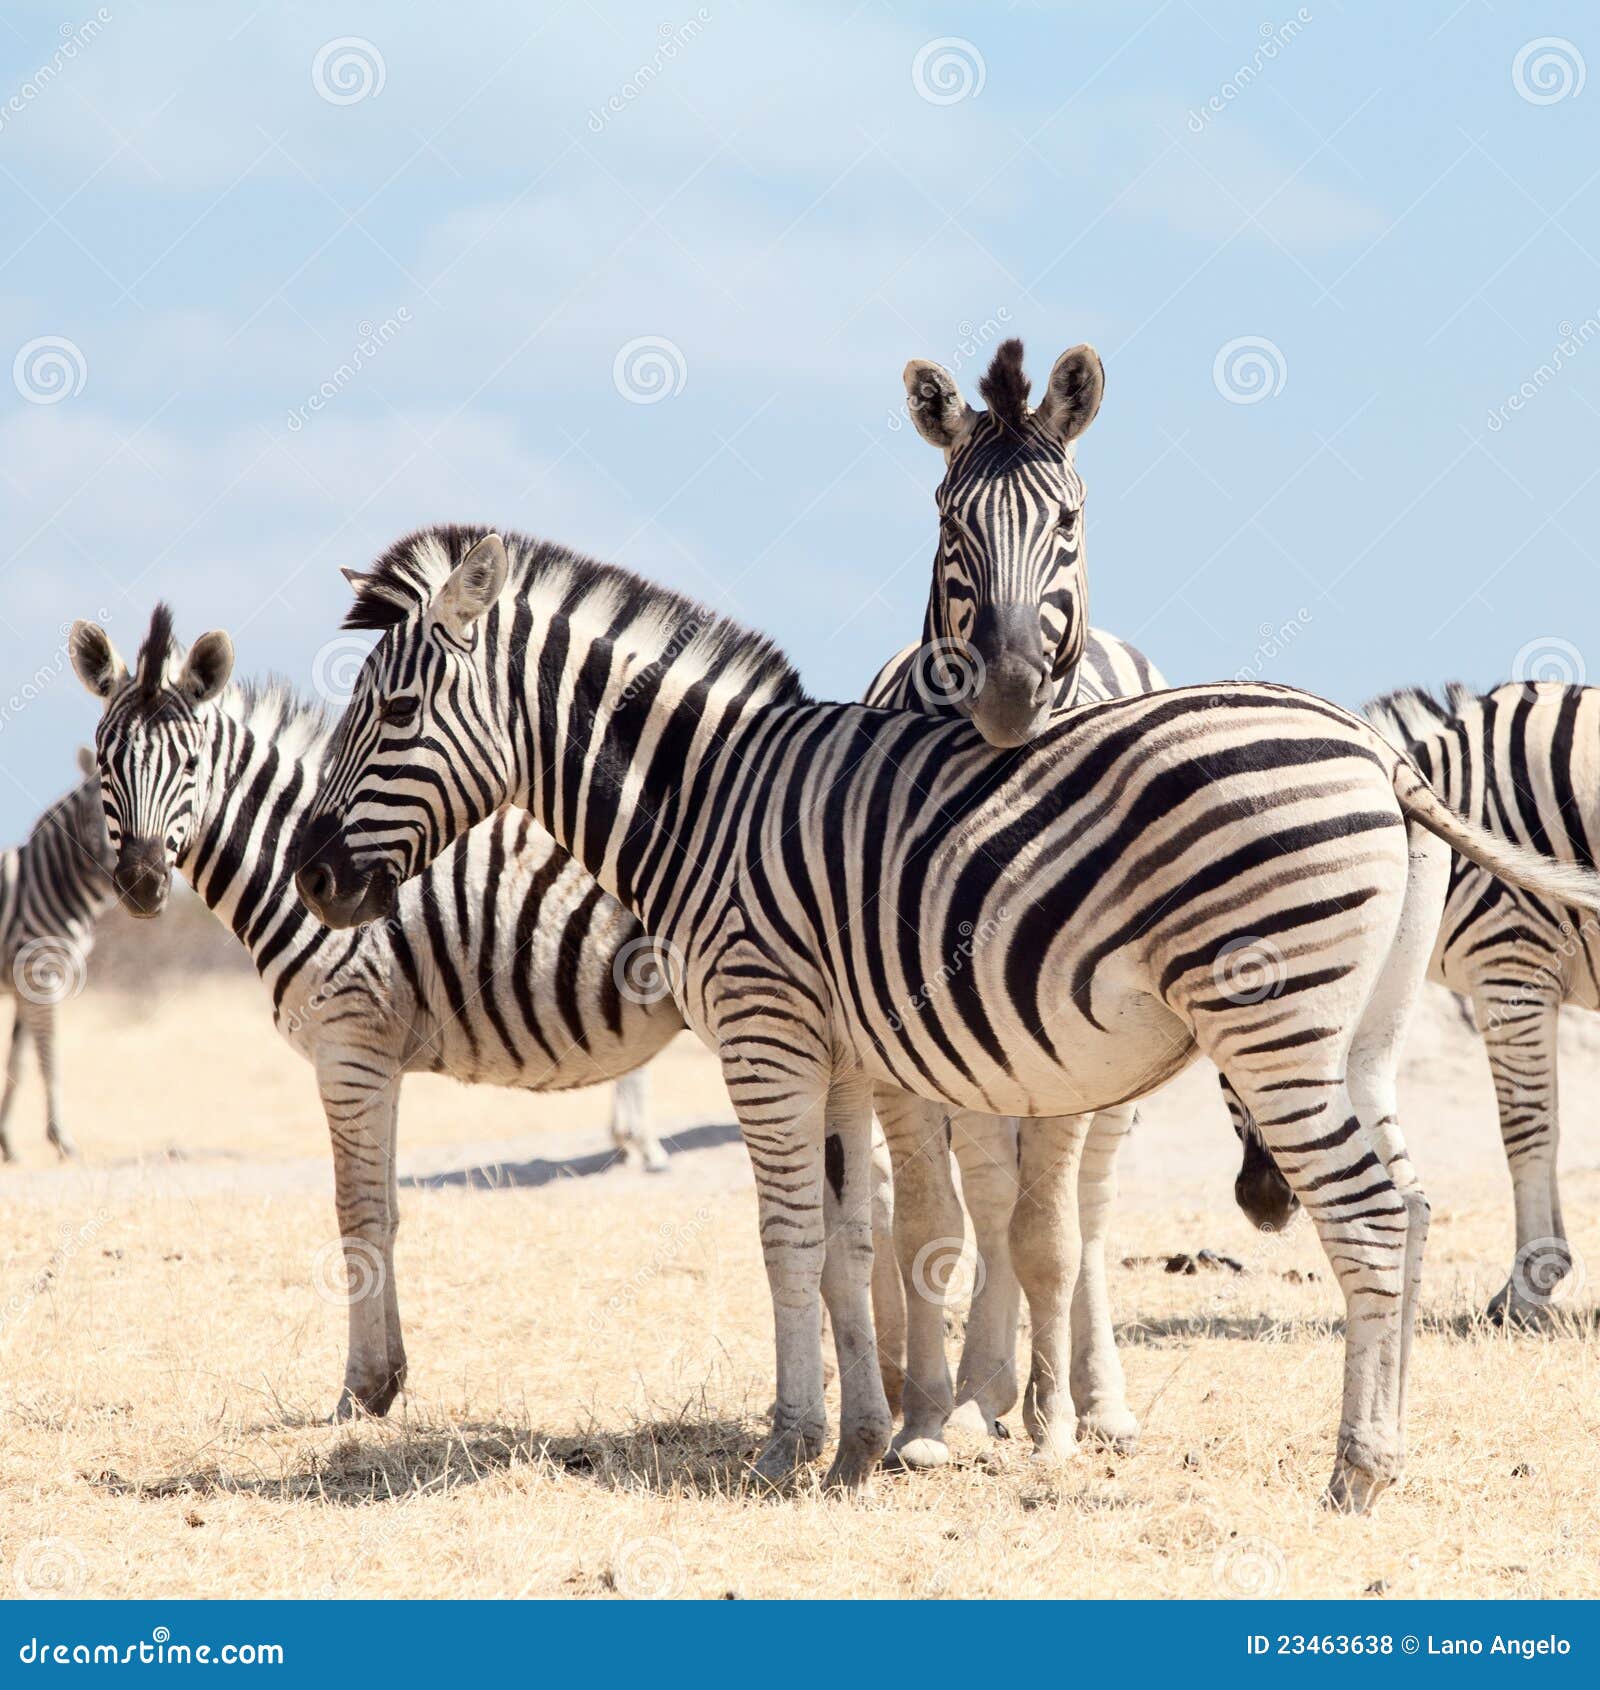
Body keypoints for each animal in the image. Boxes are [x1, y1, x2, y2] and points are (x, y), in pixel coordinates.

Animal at [0, 749, 116, 1161]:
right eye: (95, 815)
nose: (125, 879)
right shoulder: (39, 975)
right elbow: (49, 1059)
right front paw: (61, 1139)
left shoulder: (25, 985)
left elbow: (17, 1061)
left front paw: (6, 1142)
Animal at [66, 605, 689, 1419]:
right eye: (106, 766)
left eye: (191, 763)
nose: (141, 883)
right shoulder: (380, 1060)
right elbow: (387, 1211)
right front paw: (391, 1381)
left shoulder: (348, 1047)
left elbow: (354, 1211)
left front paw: (359, 1391)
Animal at [862, 337, 1167, 1466]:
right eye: (949, 523)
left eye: (1068, 521)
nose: (1008, 692)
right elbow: (941, 1221)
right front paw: (929, 1419)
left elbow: (1051, 1231)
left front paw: (1054, 1421)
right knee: (995, 1189)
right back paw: (985, 1387)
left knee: (1082, 1206)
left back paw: (1088, 1398)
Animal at [1233, 678, 1600, 1325]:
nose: (1264, 1205)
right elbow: (1546, 1126)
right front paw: (1546, 1272)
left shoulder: (1512, 963)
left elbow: (1526, 1130)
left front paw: (1526, 1289)